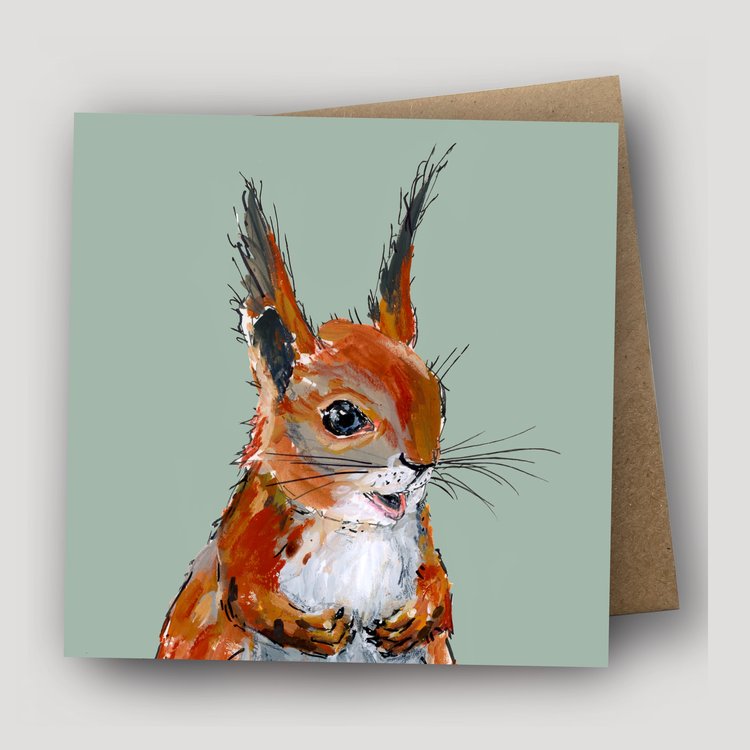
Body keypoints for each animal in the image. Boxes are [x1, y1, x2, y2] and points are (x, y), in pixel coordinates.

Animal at [157, 147, 456, 664]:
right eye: (342, 417)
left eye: (438, 398)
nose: (422, 464)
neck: (353, 527)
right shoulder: (247, 529)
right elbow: (242, 592)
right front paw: (312, 629)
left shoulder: (420, 531)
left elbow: (440, 586)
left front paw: (416, 616)